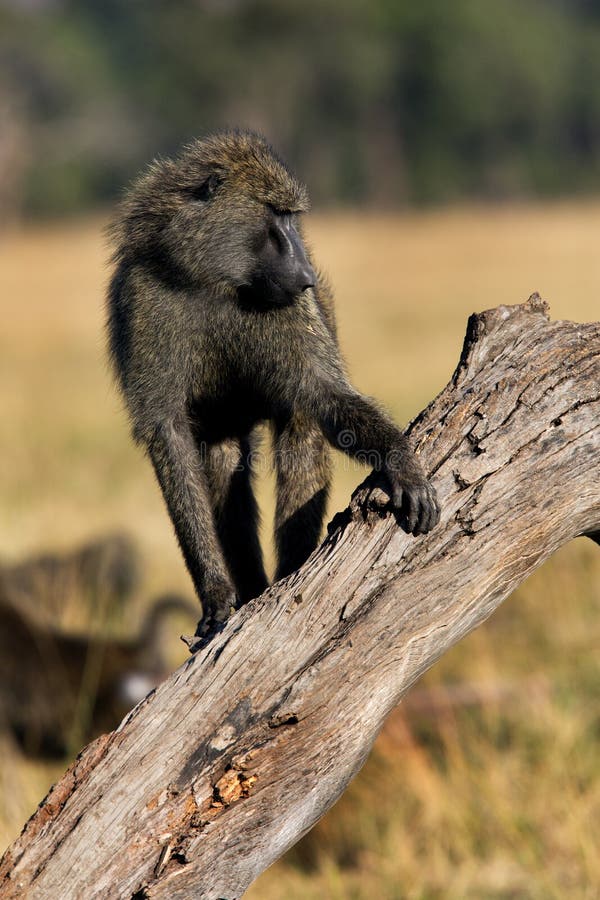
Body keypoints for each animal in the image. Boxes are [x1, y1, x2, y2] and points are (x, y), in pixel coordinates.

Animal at [107, 131, 440, 648]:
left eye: (291, 216)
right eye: (275, 216)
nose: (306, 277)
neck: (211, 281)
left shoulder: (292, 313)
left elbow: (325, 394)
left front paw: (402, 464)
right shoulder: (142, 302)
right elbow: (169, 435)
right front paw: (215, 593)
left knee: (301, 429)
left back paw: (290, 573)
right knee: (223, 463)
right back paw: (250, 587)